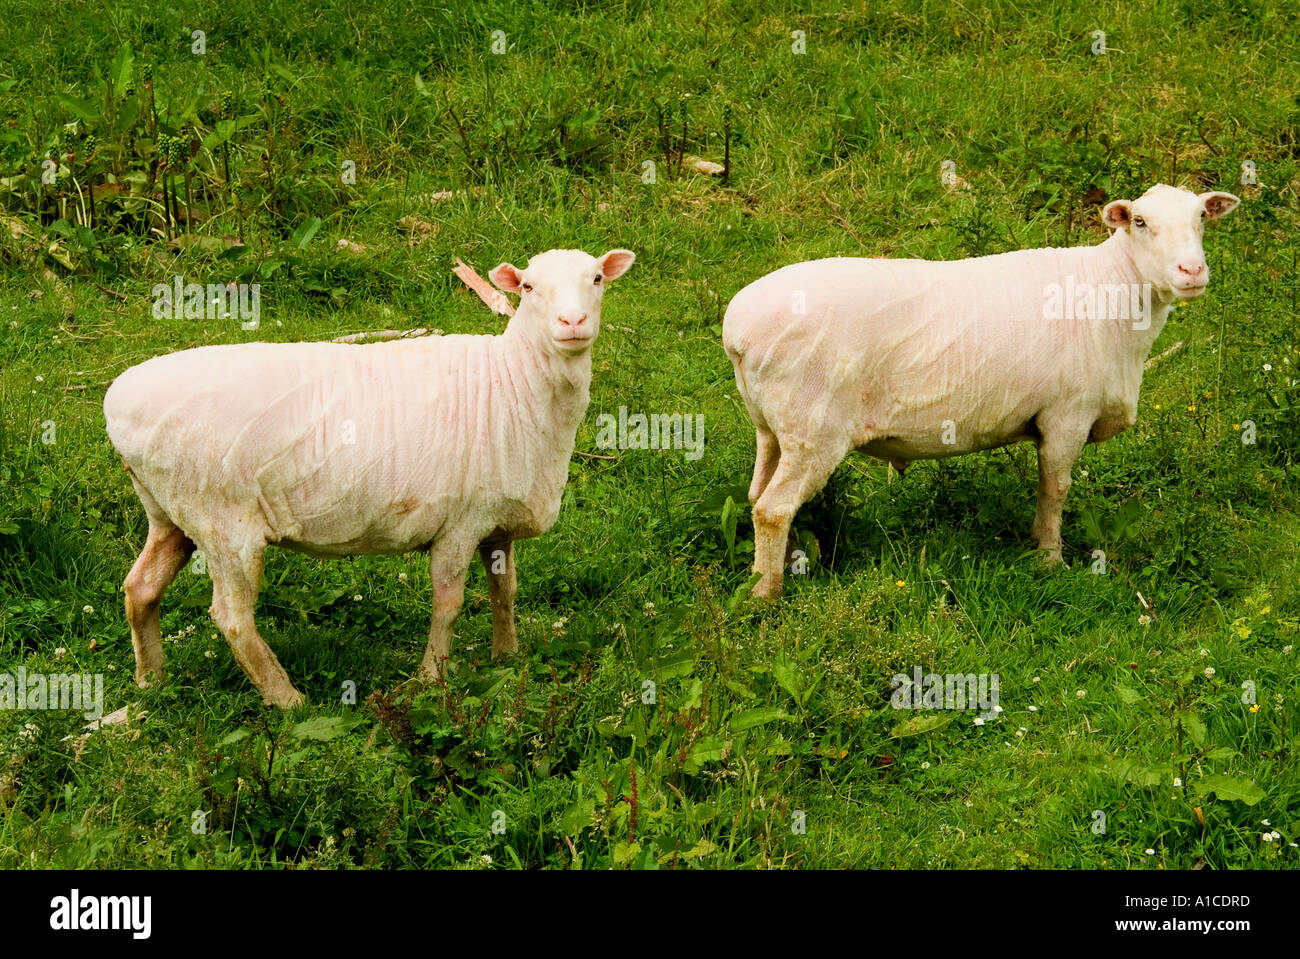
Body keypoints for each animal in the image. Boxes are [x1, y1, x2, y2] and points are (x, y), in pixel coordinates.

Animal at [104, 247, 635, 707]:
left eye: (597, 279)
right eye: (528, 286)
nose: (573, 323)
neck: (515, 381)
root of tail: (116, 402)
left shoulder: (496, 521)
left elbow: (504, 592)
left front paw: (506, 656)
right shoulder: (460, 522)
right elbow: (449, 604)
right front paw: (431, 677)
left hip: (169, 511)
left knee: (140, 587)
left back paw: (151, 681)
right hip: (223, 523)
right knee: (232, 618)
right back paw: (287, 699)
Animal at [722, 185, 1238, 598]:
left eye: (1202, 218)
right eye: (1140, 221)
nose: (1192, 271)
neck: (1113, 291)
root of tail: (736, 332)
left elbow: (1044, 486)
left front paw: (1036, 544)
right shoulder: (1067, 414)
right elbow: (1056, 488)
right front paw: (1050, 560)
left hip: (774, 426)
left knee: (757, 496)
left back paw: (778, 568)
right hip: (814, 428)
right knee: (773, 509)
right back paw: (768, 597)